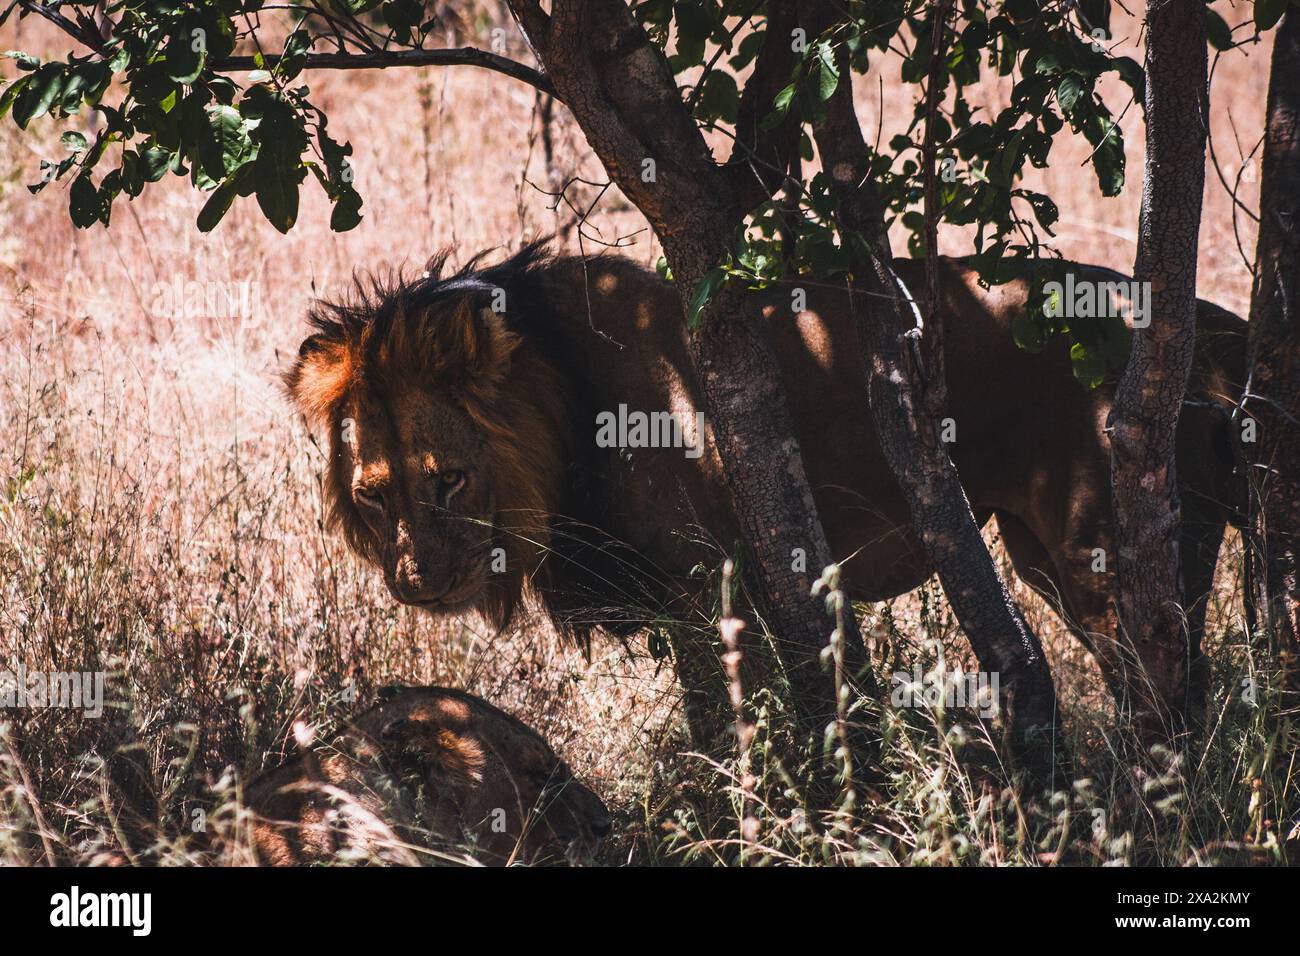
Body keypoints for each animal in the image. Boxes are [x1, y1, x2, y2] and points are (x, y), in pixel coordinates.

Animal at [286, 244, 1246, 725]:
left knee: (1171, 685)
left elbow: (727, 728)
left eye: (447, 481)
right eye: (373, 494)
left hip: (1098, 552)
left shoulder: (708, 590)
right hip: (1047, 550)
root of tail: (1203, 330)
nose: (417, 584)